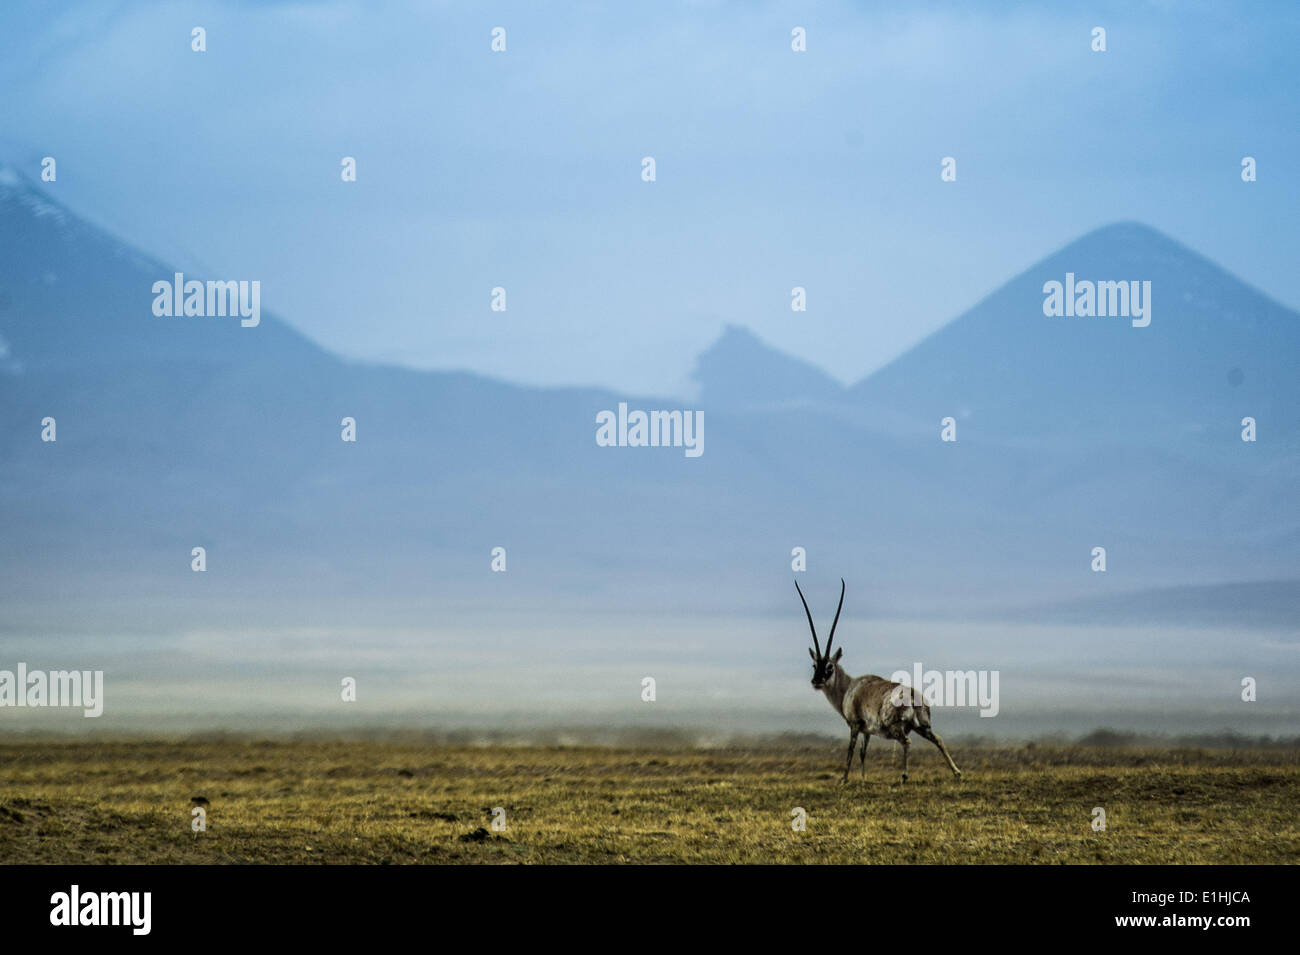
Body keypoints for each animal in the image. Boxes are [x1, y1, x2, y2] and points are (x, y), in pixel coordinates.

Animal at [797, 578, 962, 783]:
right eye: (814, 665)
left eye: (830, 666)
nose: (816, 681)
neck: (849, 687)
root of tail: (913, 696)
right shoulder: (867, 731)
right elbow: (863, 752)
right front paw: (863, 778)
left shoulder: (855, 725)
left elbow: (851, 751)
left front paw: (844, 779)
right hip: (922, 726)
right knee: (938, 739)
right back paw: (957, 773)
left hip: (896, 727)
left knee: (907, 742)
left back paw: (904, 775)